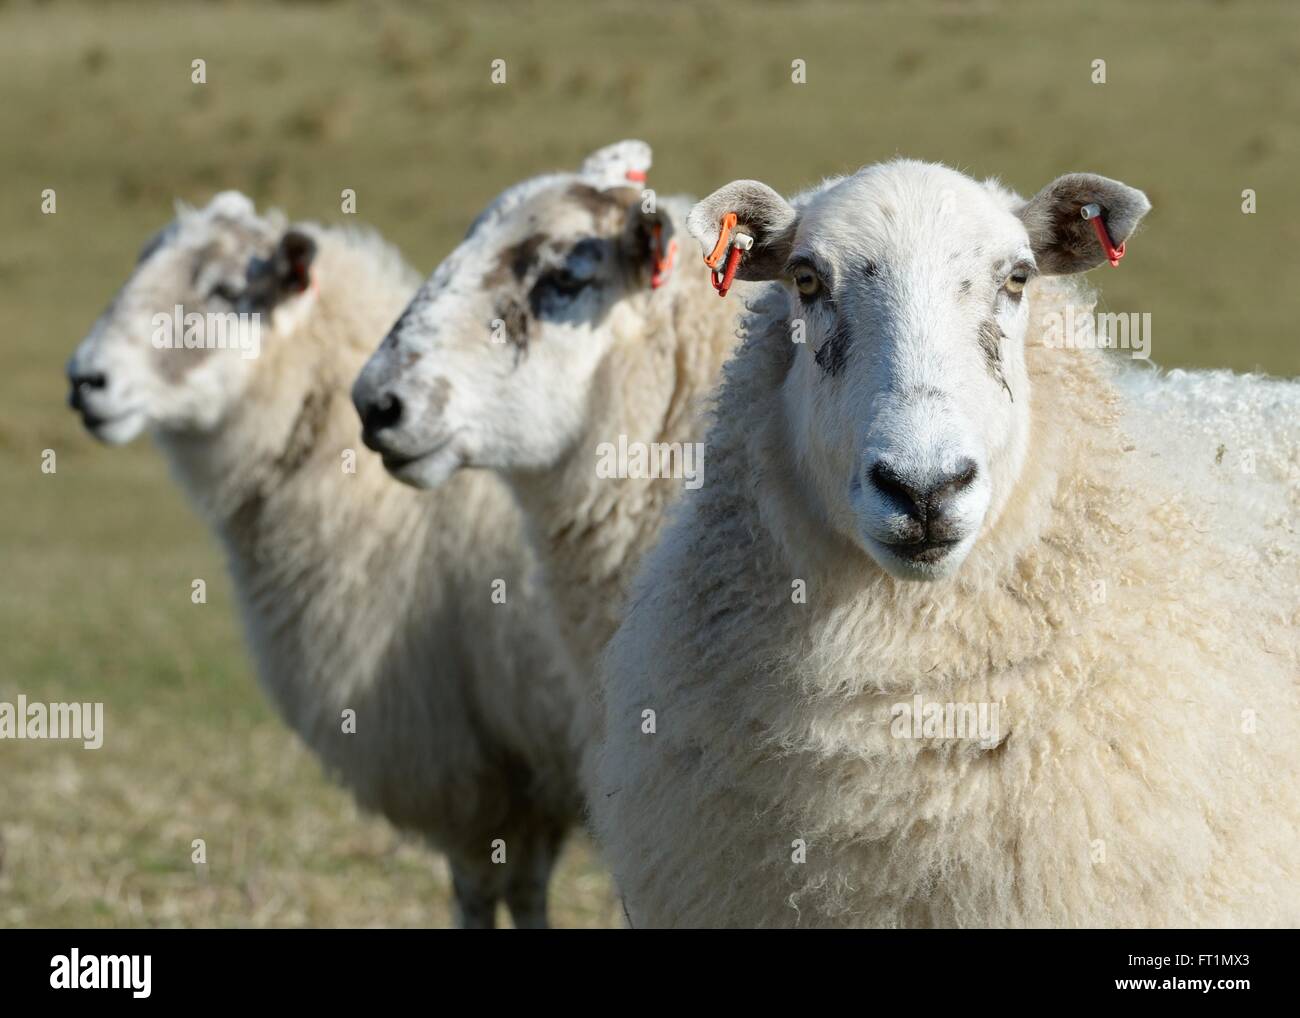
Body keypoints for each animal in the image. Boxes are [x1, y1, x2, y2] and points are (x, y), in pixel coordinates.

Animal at [66, 191, 588, 928]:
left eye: (225, 290)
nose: (85, 380)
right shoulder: (521, 770)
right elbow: (526, 886)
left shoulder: (454, 759)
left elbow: (480, 887)